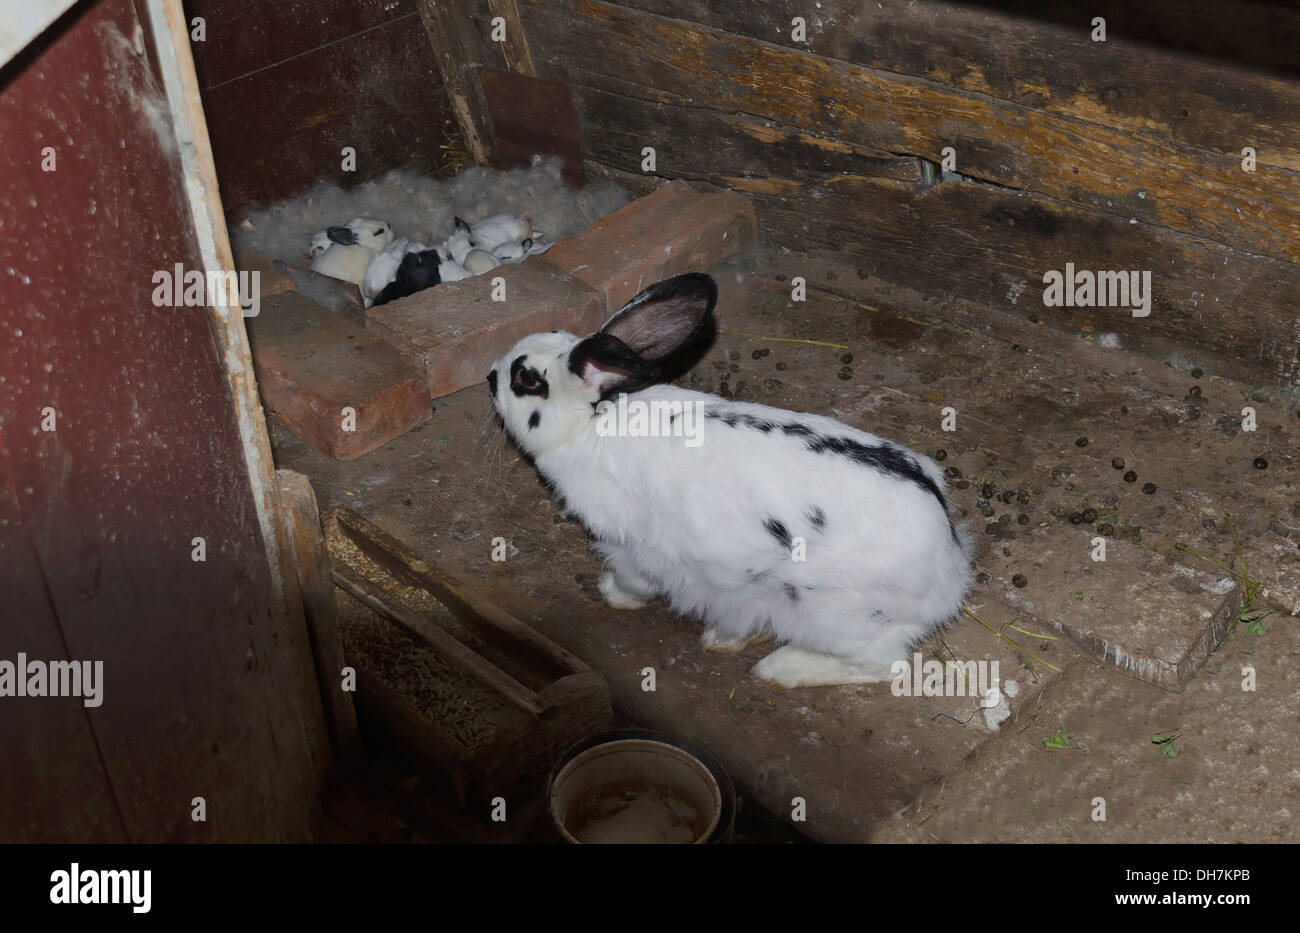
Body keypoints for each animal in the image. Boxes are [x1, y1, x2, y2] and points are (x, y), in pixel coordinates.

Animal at [486, 273, 972, 688]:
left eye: (525, 378)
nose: (490, 374)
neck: (591, 424)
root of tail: (949, 569)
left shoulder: (634, 547)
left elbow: (634, 581)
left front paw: (612, 594)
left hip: (835, 615)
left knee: (883, 665)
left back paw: (781, 667)